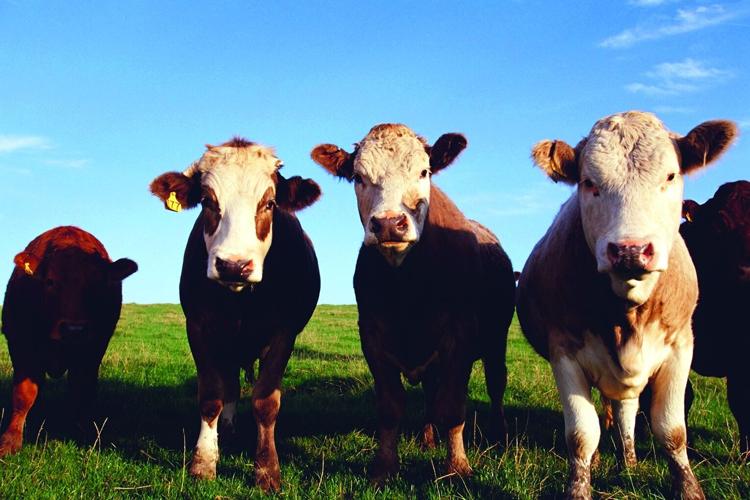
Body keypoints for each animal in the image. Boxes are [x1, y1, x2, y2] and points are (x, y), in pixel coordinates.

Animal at [0, 226, 137, 456]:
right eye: (50, 281)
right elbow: (23, 394)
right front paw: (11, 439)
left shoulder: (92, 351)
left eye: (97, 283)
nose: (74, 330)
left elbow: (82, 388)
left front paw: (85, 433)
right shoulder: (21, 346)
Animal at [149, 137, 321, 492]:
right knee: (229, 382)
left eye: (269, 203)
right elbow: (211, 395)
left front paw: (267, 471)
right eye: (207, 201)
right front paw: (203, 463)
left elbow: (266, 402)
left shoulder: (283, 333)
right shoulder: (198, 326)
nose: (233, 265)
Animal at [311, 124, 516, 481]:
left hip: (496, 339)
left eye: (424, 172)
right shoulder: (372, 336)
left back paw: (499, 434)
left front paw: (457, 467)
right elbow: (391, 406)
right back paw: (427, 437)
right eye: (358, 177)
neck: (408, 289)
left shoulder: (460, 336)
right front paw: (384, 467)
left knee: (495, 383)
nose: (389, 223)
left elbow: (453, 406)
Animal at [517, 111, 737, 499]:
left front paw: (689, 488)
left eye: (670, 175)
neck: (627, 313)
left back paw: (629, 460)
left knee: (626, 411)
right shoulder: (563, 353)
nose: (630, 250)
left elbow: (672, 430)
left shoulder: (681, 346)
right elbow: (581, 434)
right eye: (589, 182)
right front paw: (579, 486)